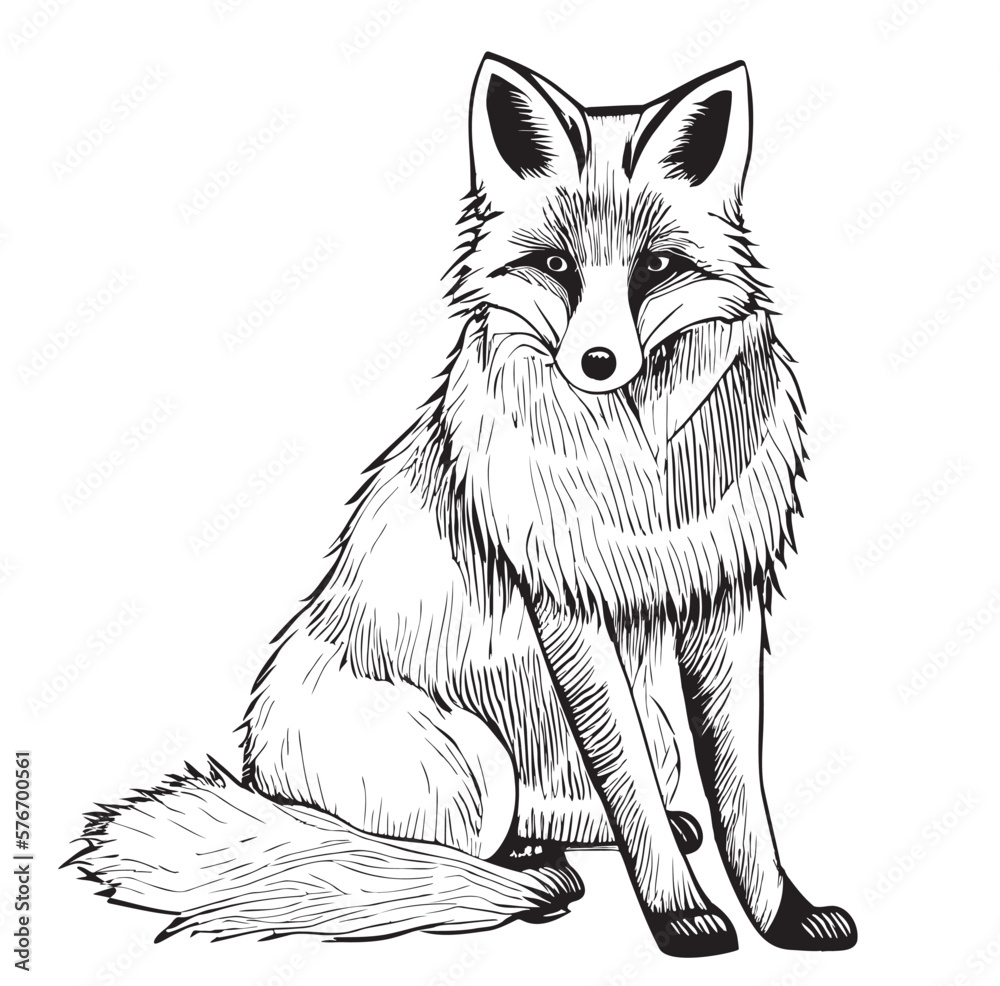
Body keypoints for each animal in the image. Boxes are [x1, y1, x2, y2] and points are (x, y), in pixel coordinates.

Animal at [69, 54, 857, 958]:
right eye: (557, 267)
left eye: (655, 269)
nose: (597, 362)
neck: (643, 471)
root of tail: (261, 778)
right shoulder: (567, 609)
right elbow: (630, 792)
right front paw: (679, 912)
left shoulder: (726, 597)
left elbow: (742, 802)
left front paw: (782, 913)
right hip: (477, 766)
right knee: (452, 853)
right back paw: (527, 868)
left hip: (628, 733)